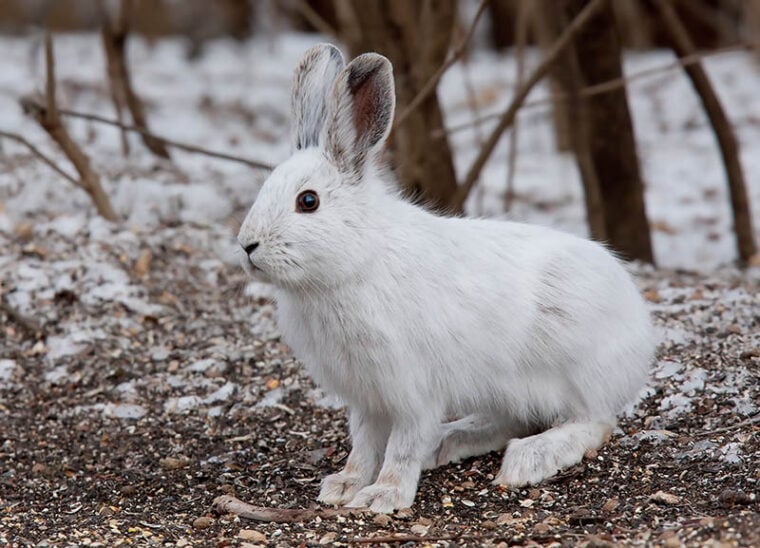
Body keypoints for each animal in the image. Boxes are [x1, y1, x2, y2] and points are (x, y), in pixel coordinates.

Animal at [237, 43, 656, 514]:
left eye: (307, 201)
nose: (247, 245)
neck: (359, 258)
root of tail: (640, 333)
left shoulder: (411, 389)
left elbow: (401, 446)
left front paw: (383, 495)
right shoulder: (367, 397)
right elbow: (363, 443)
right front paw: (344, 486)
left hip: (574, 372)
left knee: (594, 421)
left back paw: (526, 460)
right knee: (514, 420)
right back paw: (448, 442)